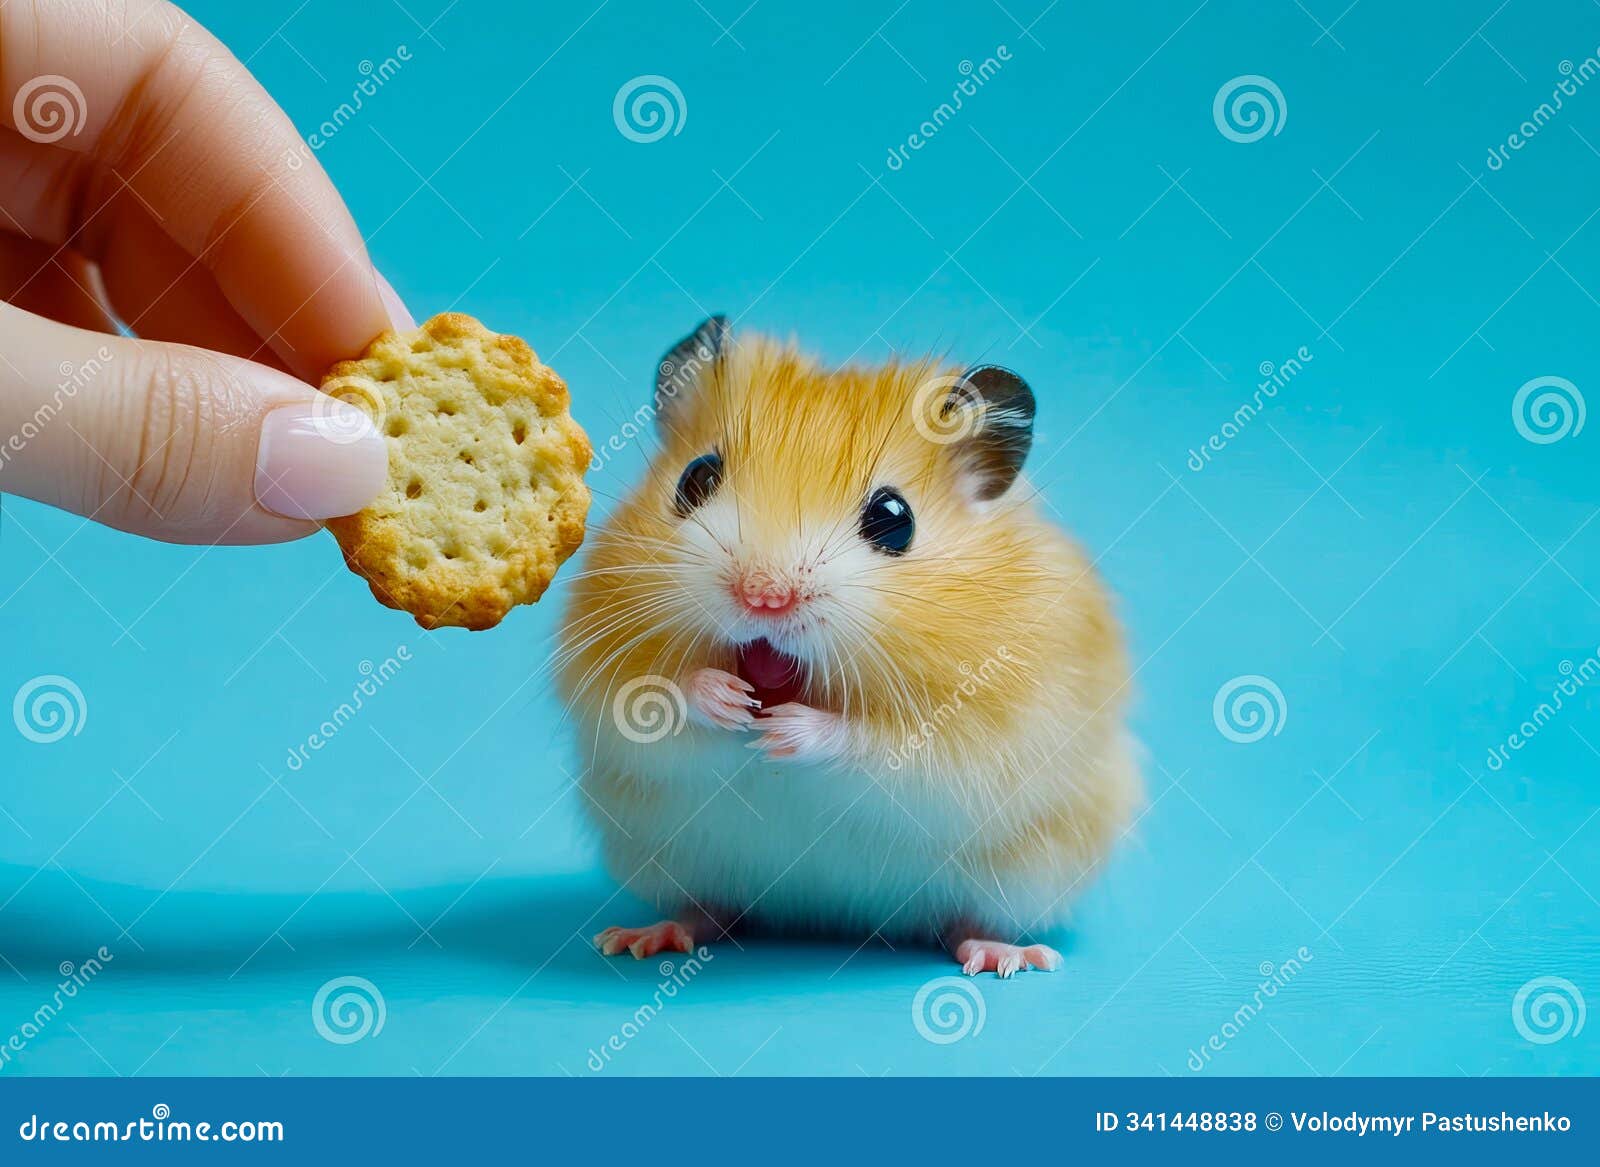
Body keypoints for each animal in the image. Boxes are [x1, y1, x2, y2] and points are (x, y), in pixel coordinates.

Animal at [556, 317, 1139, 976]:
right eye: (694, 478)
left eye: (894, 518)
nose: (764, 597)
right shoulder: (604, 680)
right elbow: (654, 707)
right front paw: (725, 698)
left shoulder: (977, 730)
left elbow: (882, 743)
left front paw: (787, 731)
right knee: (707, 911)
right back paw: (639, 937)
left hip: (1023, 872)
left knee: (966, 923)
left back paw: (1007, 957)